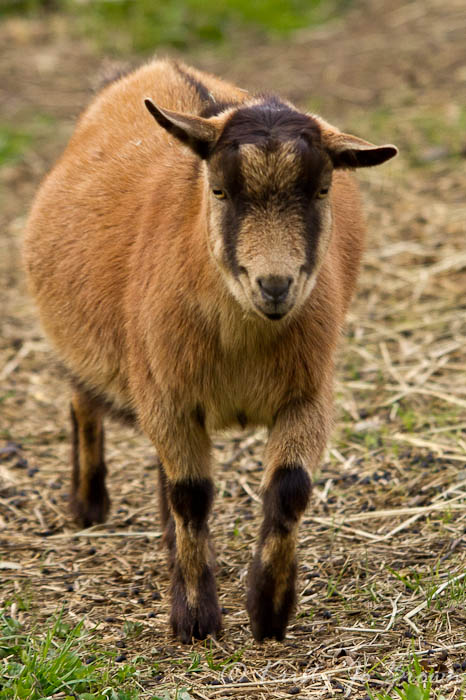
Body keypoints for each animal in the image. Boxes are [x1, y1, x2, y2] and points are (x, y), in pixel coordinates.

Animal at [24, 58, 397, 643]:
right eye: (219, 191)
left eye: (322, 190)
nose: (275, 286)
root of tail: (154, 67)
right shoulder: (167, 397)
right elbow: (192, 496)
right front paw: (197, 618)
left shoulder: (308, 395)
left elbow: (289, 489)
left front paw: (268, 610)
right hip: (98, 354)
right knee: (83, 403)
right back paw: (88, 505)